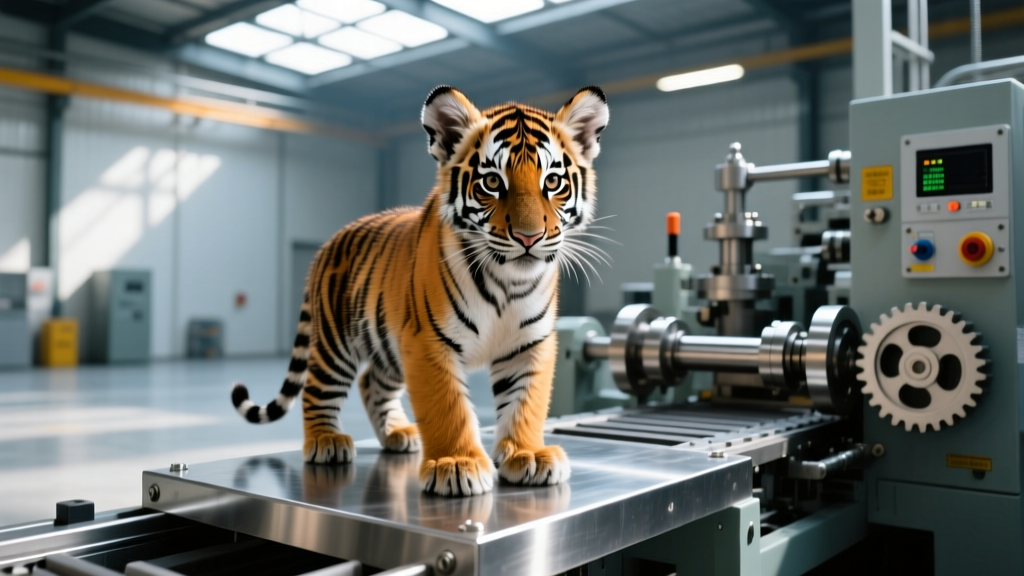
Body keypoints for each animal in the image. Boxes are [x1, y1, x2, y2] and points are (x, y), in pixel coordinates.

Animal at [231, 85, 610, 496]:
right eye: (493, 182)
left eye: (552, 182)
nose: (529, 238)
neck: (508, 280)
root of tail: (328, 243)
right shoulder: (429, 340)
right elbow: (448, 405)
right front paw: (457, 465)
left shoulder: (530, 343)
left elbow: (526, 403)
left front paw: (528, 455)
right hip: (336, 341)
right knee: (320, 387)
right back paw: (326, 441)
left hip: (388, 347)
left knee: (371, 383)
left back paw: (398, 434)